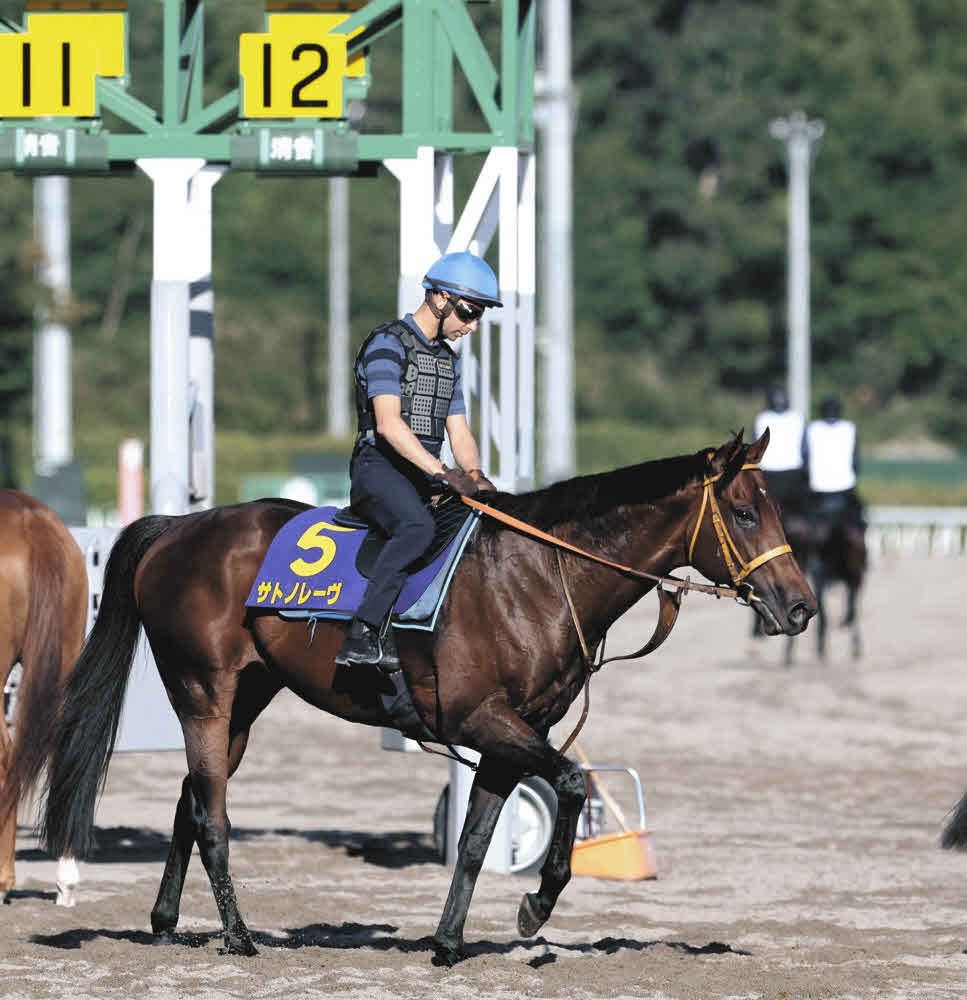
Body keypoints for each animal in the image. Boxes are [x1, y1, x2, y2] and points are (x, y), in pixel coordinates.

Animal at [23, 430, 814, 965]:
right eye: (746, 514)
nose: (800, 606)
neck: (536, 572)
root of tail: (178, 528)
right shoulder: (485, 720)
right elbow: (570, 781)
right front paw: (534, 904)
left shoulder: (510, 732)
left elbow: (475, 840)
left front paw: (448, 939)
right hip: (203, 693)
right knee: (212, 815)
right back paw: (239, 936)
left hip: (245, 702)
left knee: (191, 801)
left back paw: (164, 922)